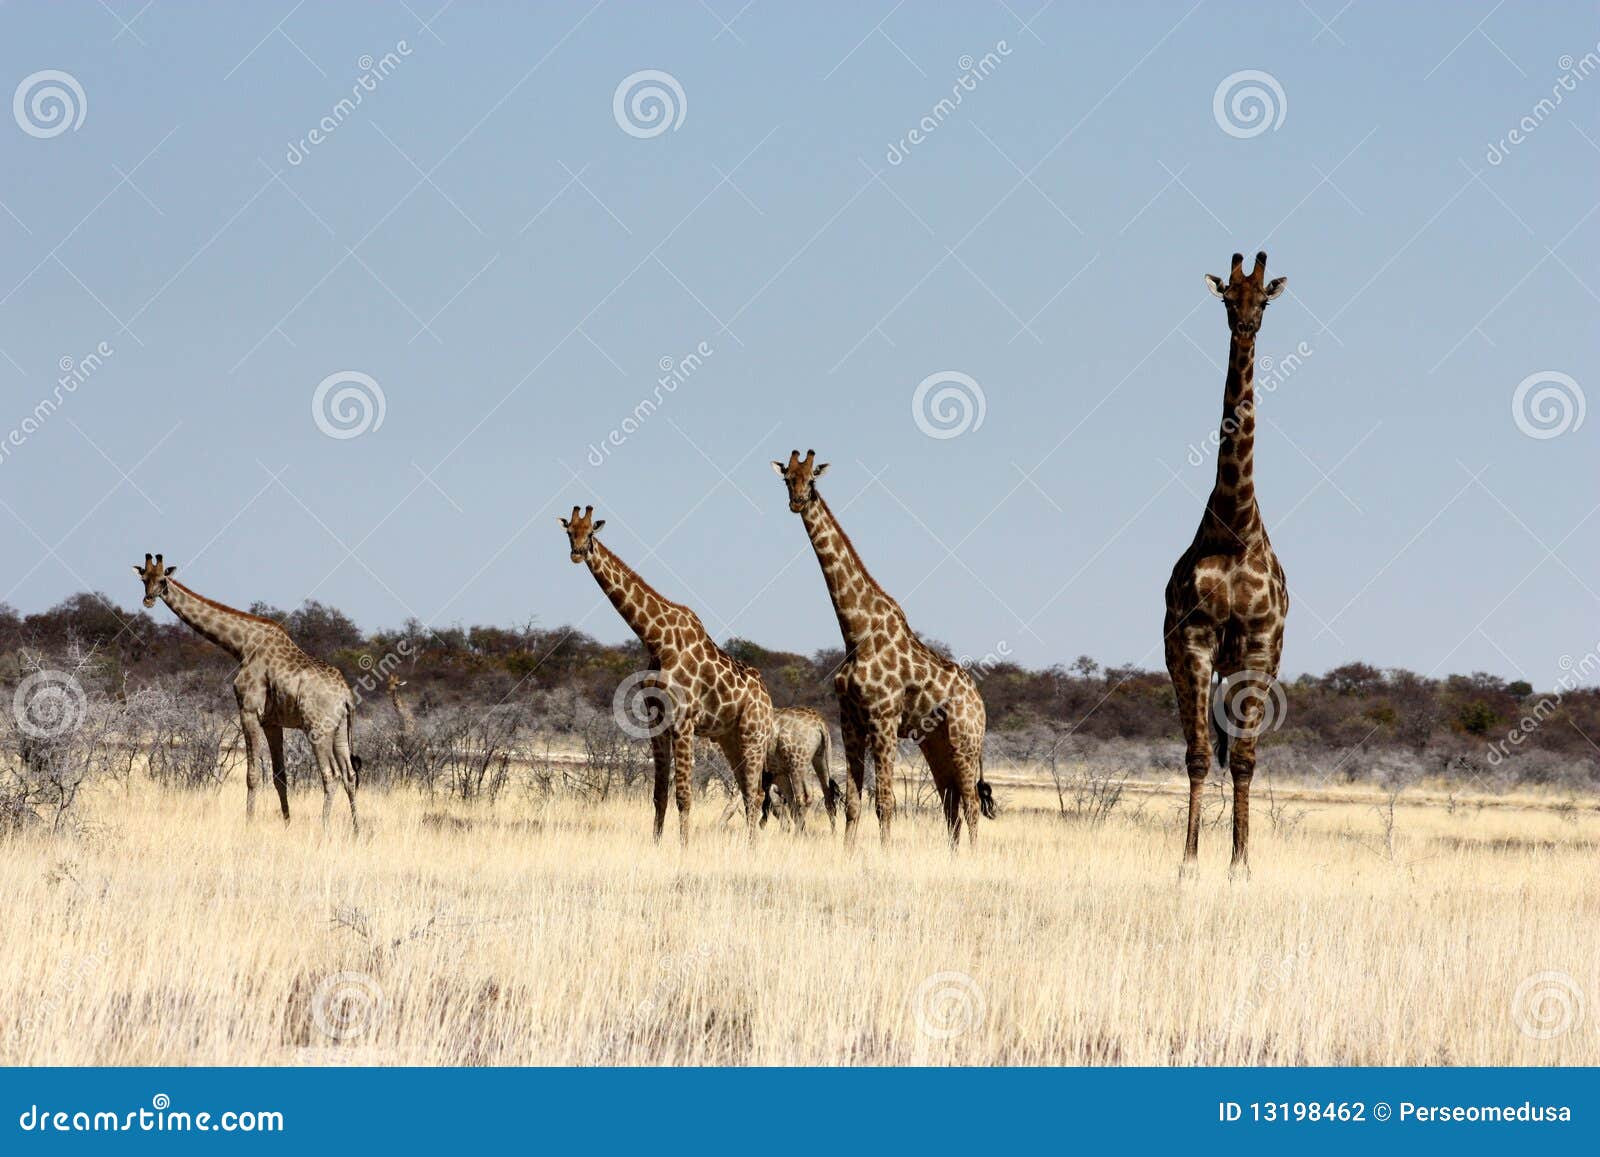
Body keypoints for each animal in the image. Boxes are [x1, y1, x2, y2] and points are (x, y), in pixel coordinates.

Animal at [133, 554, 362, 830]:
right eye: (144, 579)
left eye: (163, 580)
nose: (148, 600)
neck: (241, 646)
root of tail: (347, 696)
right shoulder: (272, 722)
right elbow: (279, 775)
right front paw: (286, 823)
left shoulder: (248, 710)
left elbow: (252, 774)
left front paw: (249, 823)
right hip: (339, 730)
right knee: (349, 774)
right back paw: (356, 829)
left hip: (318, 727)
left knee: (331, 774)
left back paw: (324, 828)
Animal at [559, 507, 773, 845]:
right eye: (570, 532)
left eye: (591, 532)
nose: (577, 553)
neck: (656, 640)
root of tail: (768, 699)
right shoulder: (656, 721)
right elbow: (659, 794)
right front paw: (656, 844)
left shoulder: (684, 720)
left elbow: (684, 795)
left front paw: (684, 848)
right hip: (731, 738)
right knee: (747, 791)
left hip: (754, 735)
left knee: (755, 793)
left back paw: (751, 848)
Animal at [772, 452, 995, 847]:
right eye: (787, 478)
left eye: (811, 479)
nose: (797, 502)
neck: (857, 633)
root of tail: (980, 702)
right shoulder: (850, 721)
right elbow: (852, 803)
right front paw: (847, 853)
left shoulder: (884, 720)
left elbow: (884, 803)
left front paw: (885, 853)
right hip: (936, 745)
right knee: (951, 805)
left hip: (965, 740)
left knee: (969, 805)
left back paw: (971, 856)